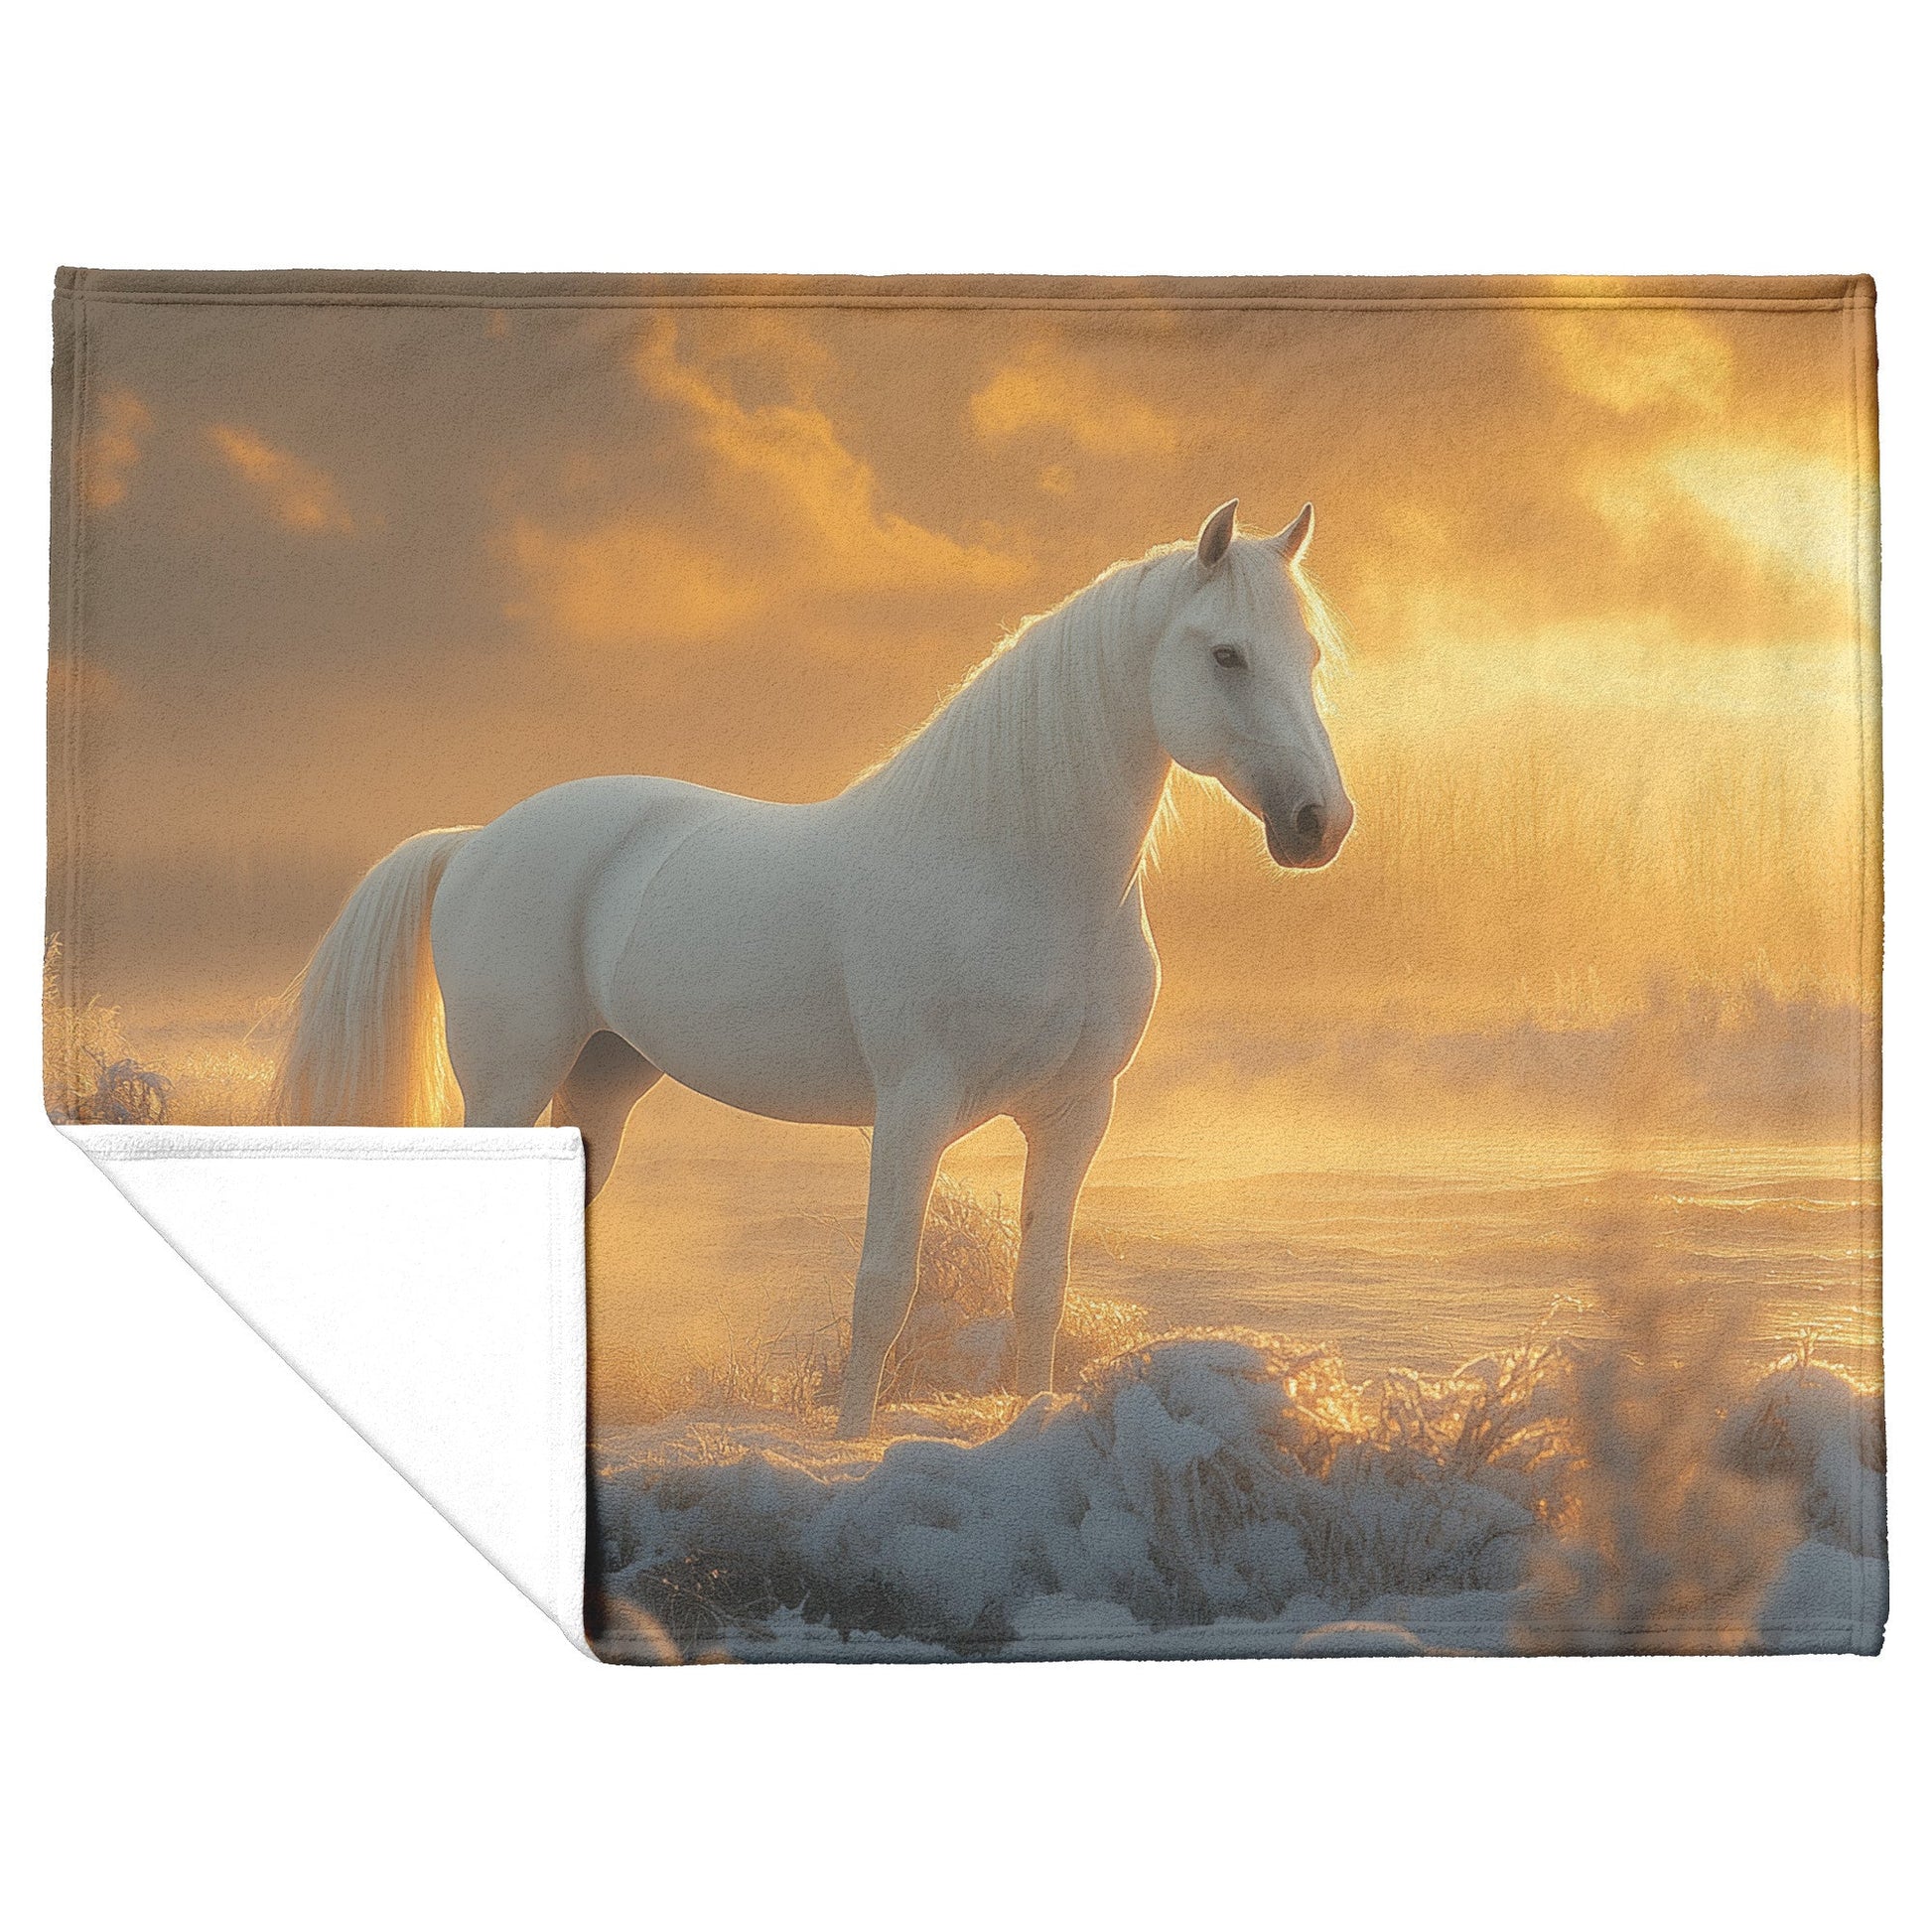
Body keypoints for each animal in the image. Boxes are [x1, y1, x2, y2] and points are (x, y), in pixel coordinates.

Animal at [273, 499, 1354, 1437]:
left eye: (1306, 655)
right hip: (509, 1082)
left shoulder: (1076, 1110)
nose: (1320, 823)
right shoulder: (914, 1105)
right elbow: (882, 1287)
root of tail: (475, 840)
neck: (1011, 863)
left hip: (602, 1083)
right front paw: (847, 1441)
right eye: (1225, 653)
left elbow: (1040, 1287)